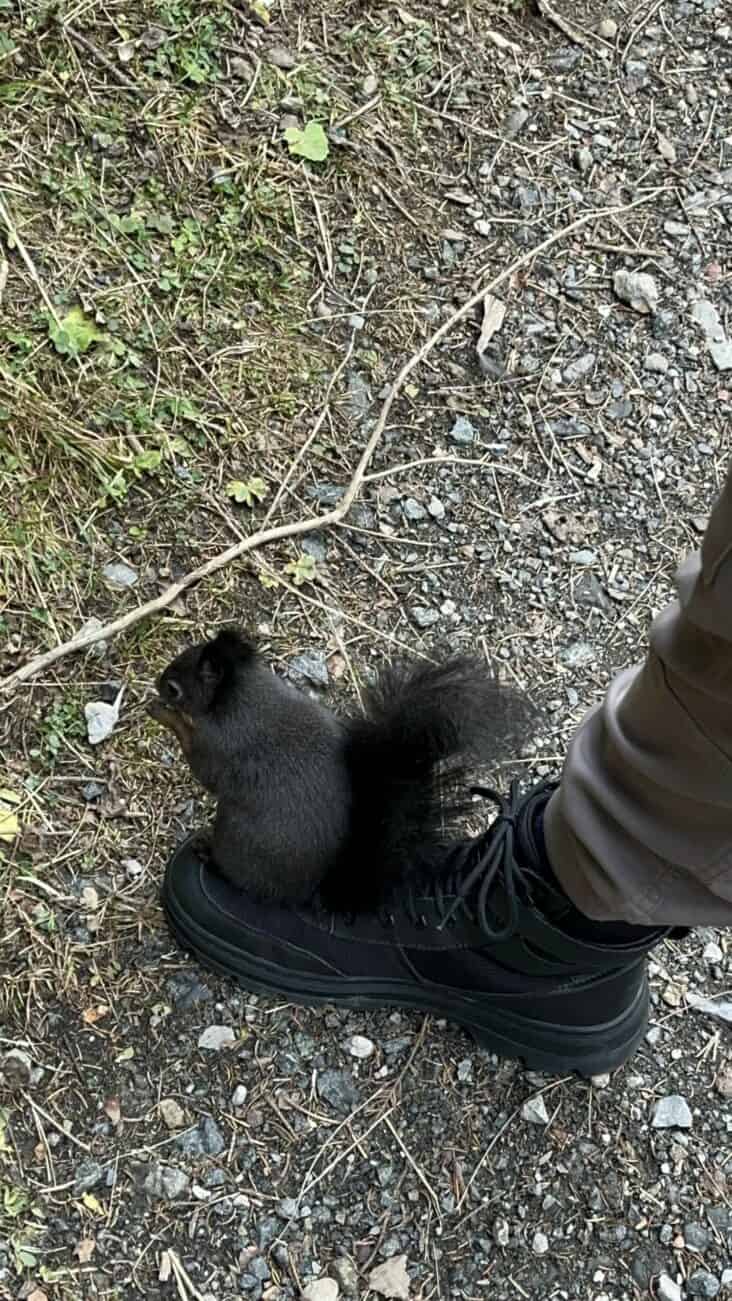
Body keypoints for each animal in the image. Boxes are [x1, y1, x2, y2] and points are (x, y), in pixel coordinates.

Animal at [148, 627, 529, 914]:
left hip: (238, 840)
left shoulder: (221, 743)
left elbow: (204, 768)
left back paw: (208, 853)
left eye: (174, 687)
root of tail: (306, 892)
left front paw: (164, 714)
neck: (241, 695)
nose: (157, 682)